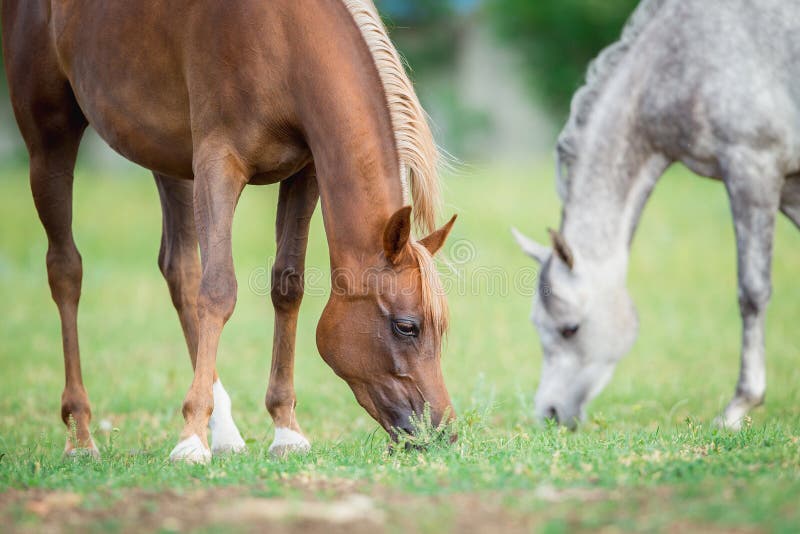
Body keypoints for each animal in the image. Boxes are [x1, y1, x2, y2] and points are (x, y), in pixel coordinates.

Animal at [2, 0, 457, 463]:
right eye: (406, 326)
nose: (442, 433)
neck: (283, 37)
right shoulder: (218, 164)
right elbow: (218, 290)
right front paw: (189, 439)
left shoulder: (306, 171)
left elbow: (287, 285)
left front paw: (285, 429)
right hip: (49, 140)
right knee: (66, 270)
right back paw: (81, 435)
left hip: (165, 154)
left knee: (179, 269)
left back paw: (223, 430)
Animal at [513, 0, 800, 430]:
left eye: (569, 330)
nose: (549, 413)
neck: (679, 61)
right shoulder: (789, 183)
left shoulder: (753, 167)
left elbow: (752, 291)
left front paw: (738, 407)